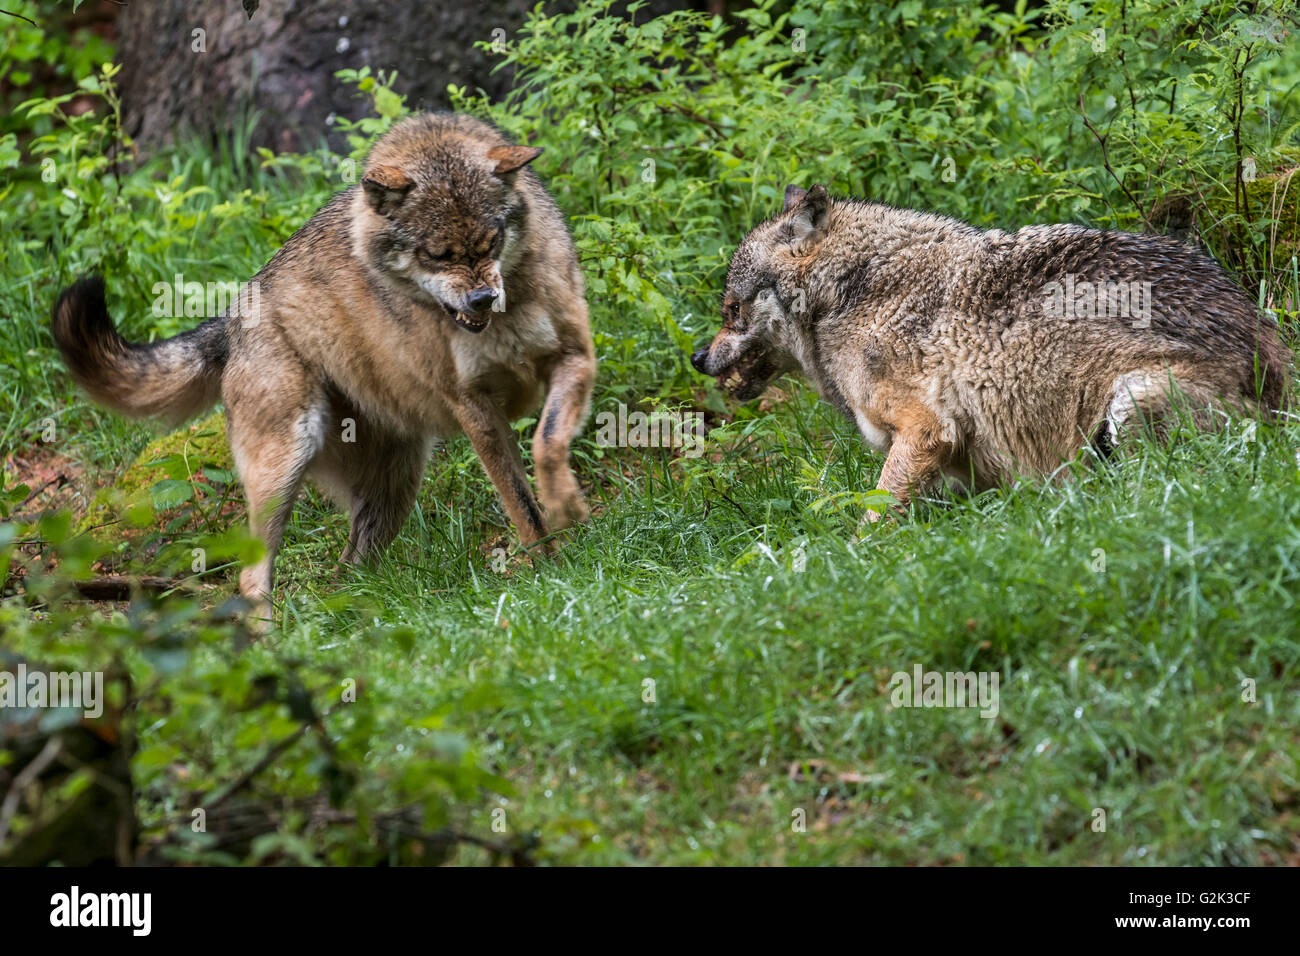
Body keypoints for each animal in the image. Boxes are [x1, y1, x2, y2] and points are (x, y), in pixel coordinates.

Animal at [53, 113, 596, 626]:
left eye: (492, 241)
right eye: (437, 254)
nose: (483, 299)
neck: (504, 319)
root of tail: (234, 313)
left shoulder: (575, 360)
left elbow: (547, 444)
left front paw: (565, 511)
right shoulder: (474, 408)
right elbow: (521, 502)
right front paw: (550, 567)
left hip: (395, 486)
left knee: (348, 570)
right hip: (286, 464)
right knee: (252, 577)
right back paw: (273, 643)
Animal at [692, 185, 1288, 517]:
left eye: (731, 310)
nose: (697, 359)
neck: (850, 293)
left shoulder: (925, 430)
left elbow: (870, 520)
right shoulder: (954, 468)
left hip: (1128, 403)